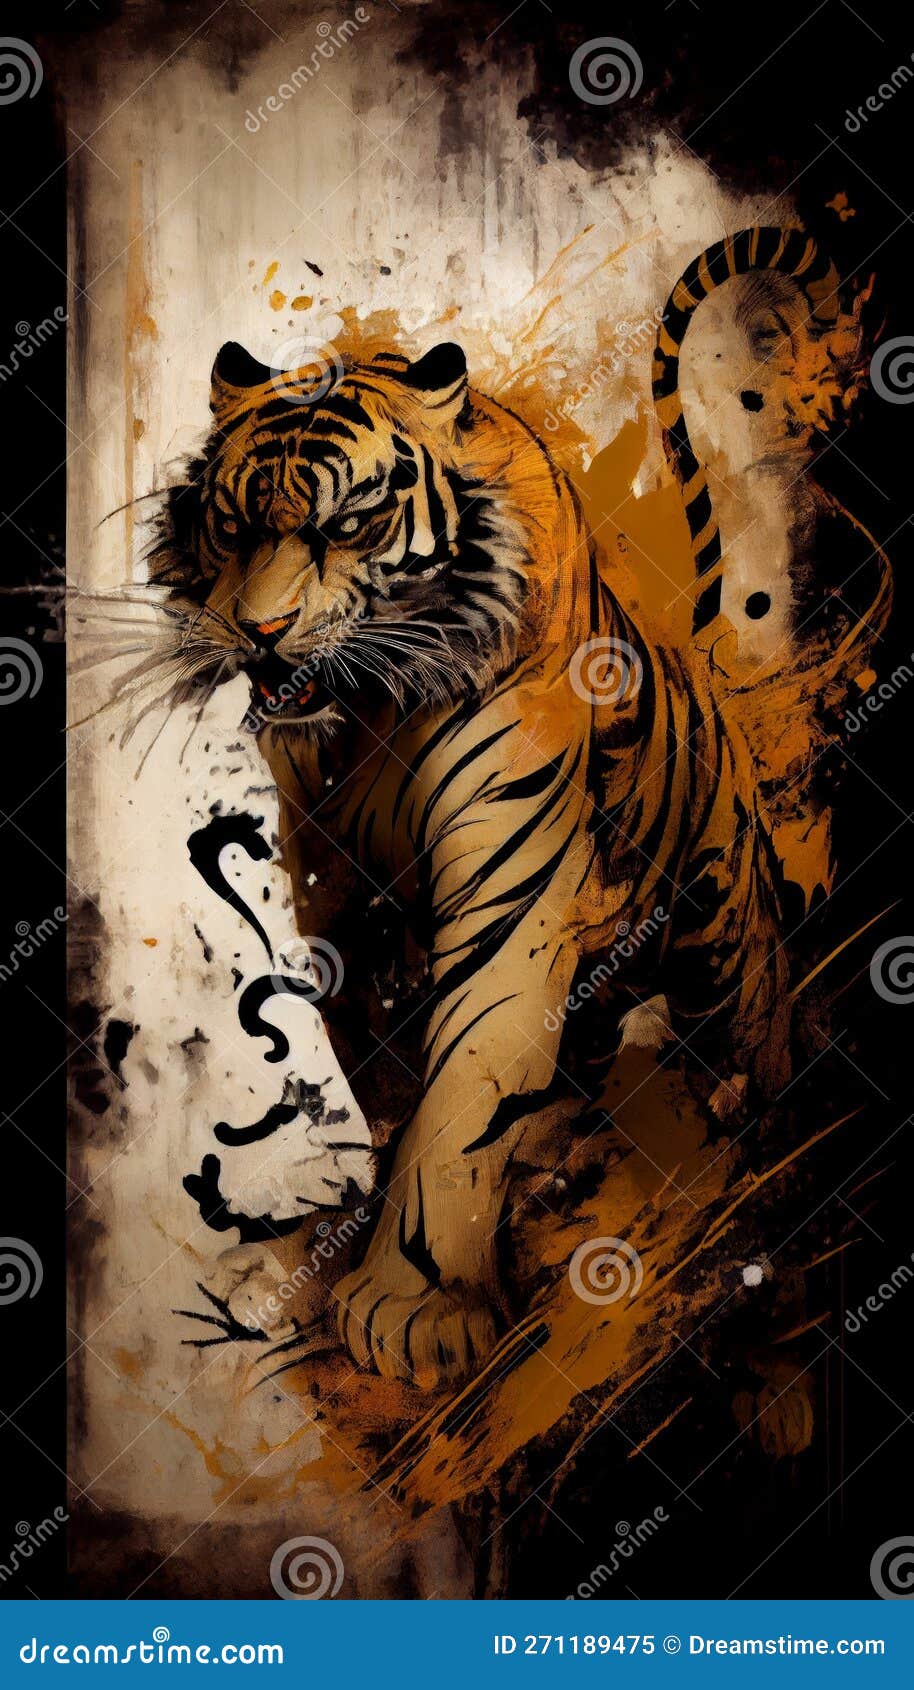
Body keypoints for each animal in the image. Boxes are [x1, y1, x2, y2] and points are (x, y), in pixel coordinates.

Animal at [147, 224, 844, 1389]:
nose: (260, 630)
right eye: (234, 524)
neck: (372, 707)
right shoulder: (338, 892)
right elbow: (386, 1068)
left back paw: (771, 1140)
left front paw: (412, 1303)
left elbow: (467, 1076)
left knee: (752, 1028)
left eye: (350, 521)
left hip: (720, 937)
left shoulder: (511, 876)